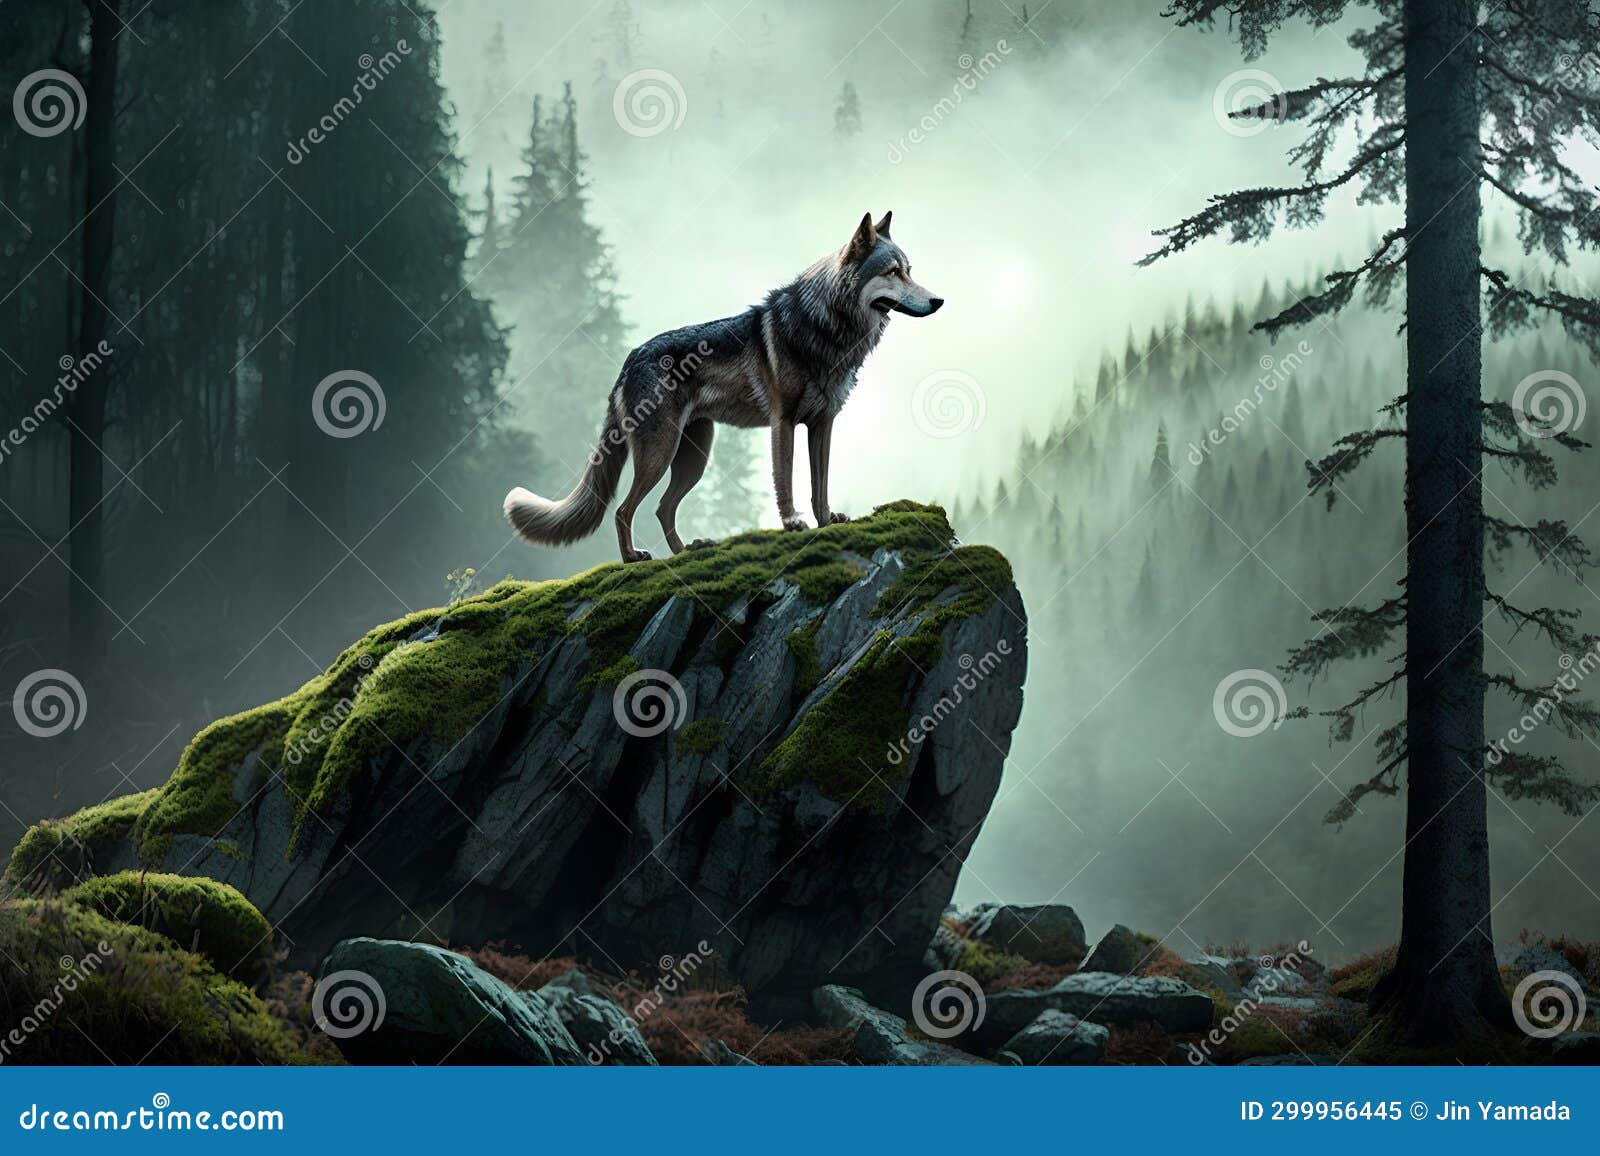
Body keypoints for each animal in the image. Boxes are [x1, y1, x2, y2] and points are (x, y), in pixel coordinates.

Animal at [503, 211, 942, 562]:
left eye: (910, 270)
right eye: (892, 272)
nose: (938, 301)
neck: (828, 330)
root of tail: (629, 360)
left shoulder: (823, 425)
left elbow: (820, 487)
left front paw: (826, 523)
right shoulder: (783, 423)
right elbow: (786, 483)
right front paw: (792, 523)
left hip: (693, 458)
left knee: (662, 508)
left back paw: (686, 551)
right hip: (659, 454)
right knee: (623, 510)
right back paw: (633, 558)